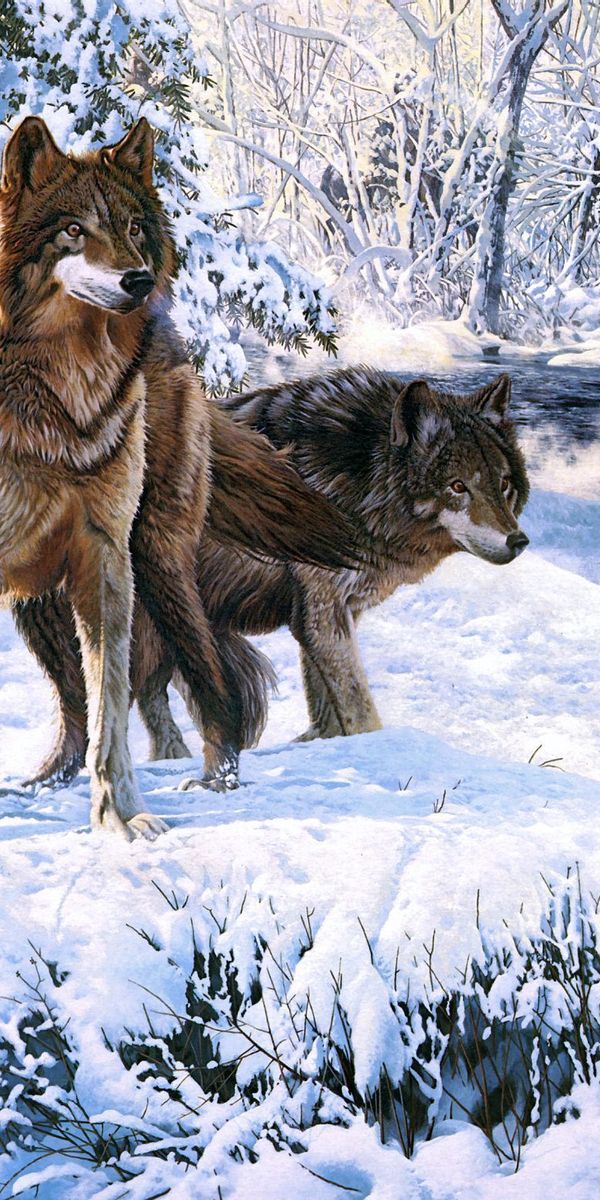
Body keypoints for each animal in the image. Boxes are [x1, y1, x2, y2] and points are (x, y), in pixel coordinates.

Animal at [1, 117, 360, 833]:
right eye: (74, 230)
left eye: (135, 227)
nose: (139, 281)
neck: (54, 398)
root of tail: (174, 345)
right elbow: (100, 707)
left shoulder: (104, 556)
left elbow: (113, 706)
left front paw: (122, 824)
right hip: (41, 602)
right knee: (74, 709)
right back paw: (42, 784)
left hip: (153, 562)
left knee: (208, 684)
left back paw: (218, 779)